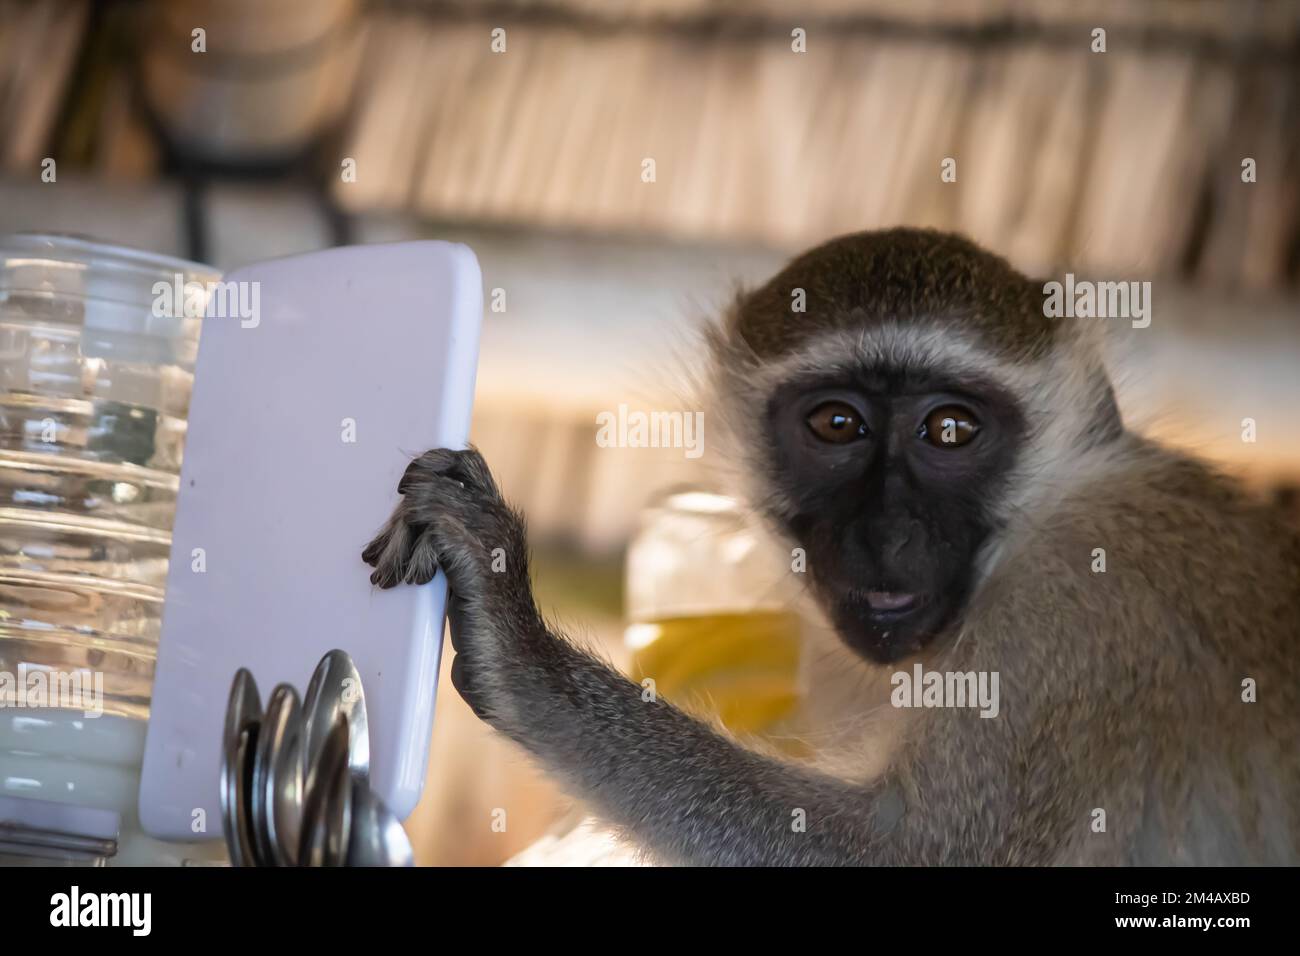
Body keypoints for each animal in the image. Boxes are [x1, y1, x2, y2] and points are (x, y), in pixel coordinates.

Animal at [362, 227, 1300, 865]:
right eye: (837, 425)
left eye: (951, 430)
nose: (886, 530)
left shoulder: (1081, 603)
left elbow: (906, 851)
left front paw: (518, 647)